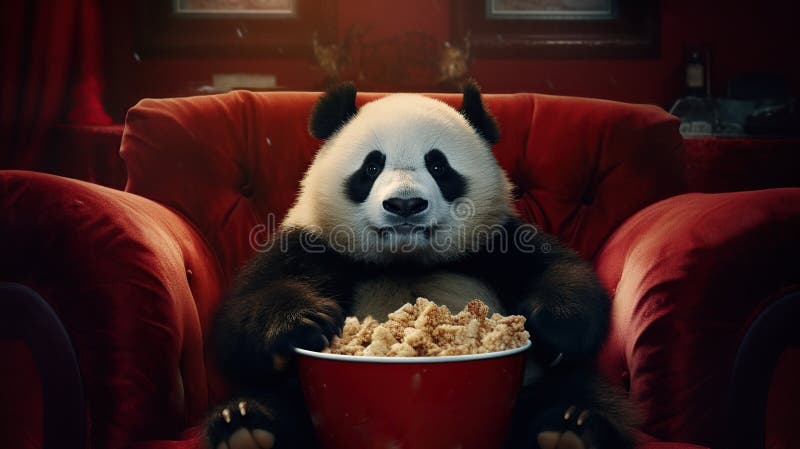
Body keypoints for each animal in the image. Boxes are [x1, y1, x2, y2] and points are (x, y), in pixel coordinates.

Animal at [205, 83, 634, 449]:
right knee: (275, 398)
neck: (405, 261)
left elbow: (561, 275)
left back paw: (569, 426)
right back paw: (245, 426)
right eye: (371, 167)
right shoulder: (311, 244)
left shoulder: (497, 242)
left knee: (582, 390)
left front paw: (552, 327)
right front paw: (302, 323)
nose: (405, 204)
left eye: (439, 167)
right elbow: (244, 316)